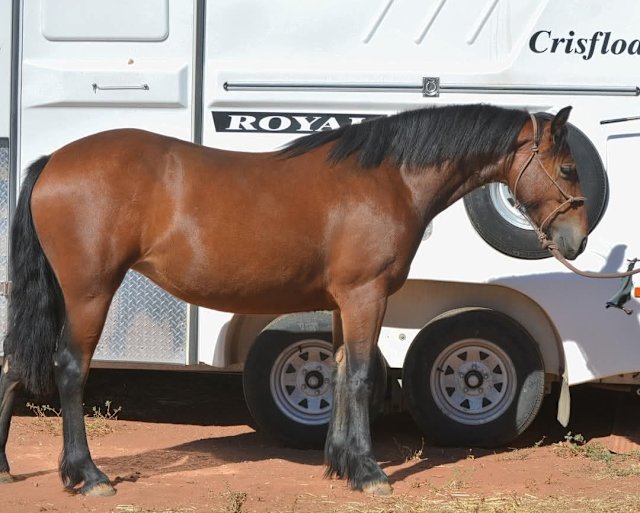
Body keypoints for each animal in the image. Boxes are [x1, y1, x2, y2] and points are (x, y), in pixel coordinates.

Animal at [0, 103, 587, 497]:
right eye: (566, 167)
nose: (577, 240)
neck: (388, 180)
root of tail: (54, 161)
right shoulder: (366, 295)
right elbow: (360, 377)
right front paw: (369, 473)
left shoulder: (342, 301)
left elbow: (341, 370)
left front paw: (340, 462)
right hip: (89, 292)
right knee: (69, 369)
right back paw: (87, 475)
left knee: (11, 363)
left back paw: (7, 466)